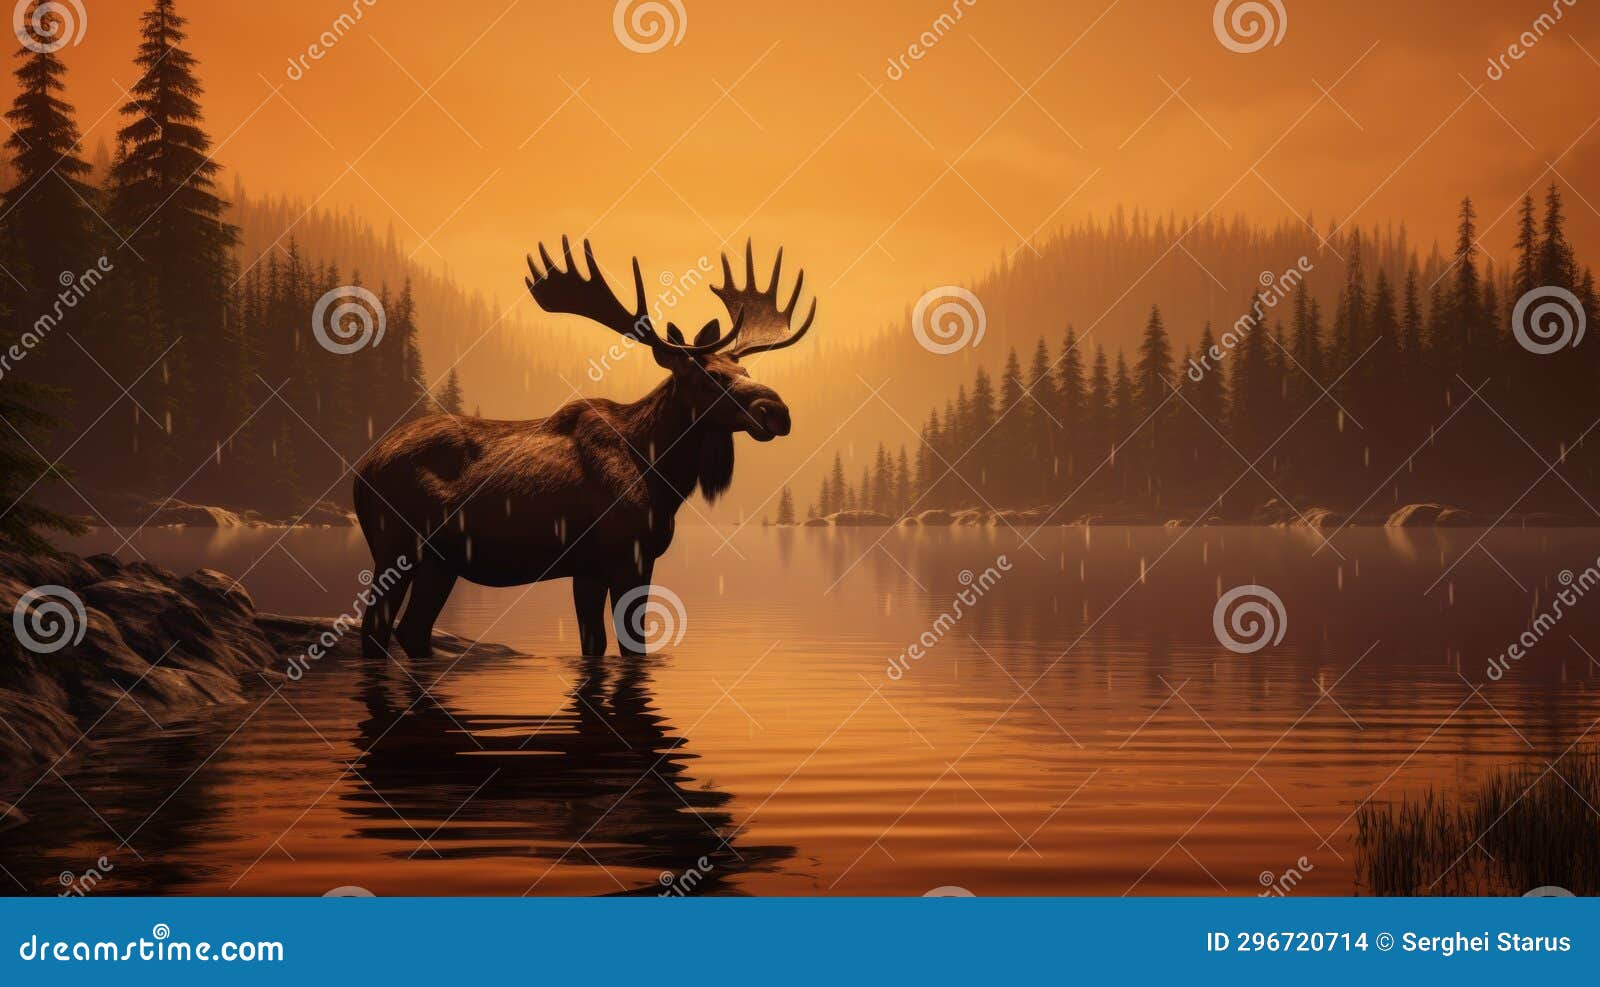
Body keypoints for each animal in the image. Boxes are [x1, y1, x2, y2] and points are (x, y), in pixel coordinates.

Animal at [353, 238, 816, 660]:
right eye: (712, 377)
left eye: (745, 369)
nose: (778, 412)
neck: (659, 474)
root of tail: (363, 467)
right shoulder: (628, 558)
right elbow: (632, 647)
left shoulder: (590, 569)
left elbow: (594, 645)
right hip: (395, 548)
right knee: (375, 629)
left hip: (441, 562)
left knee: (412, 631)